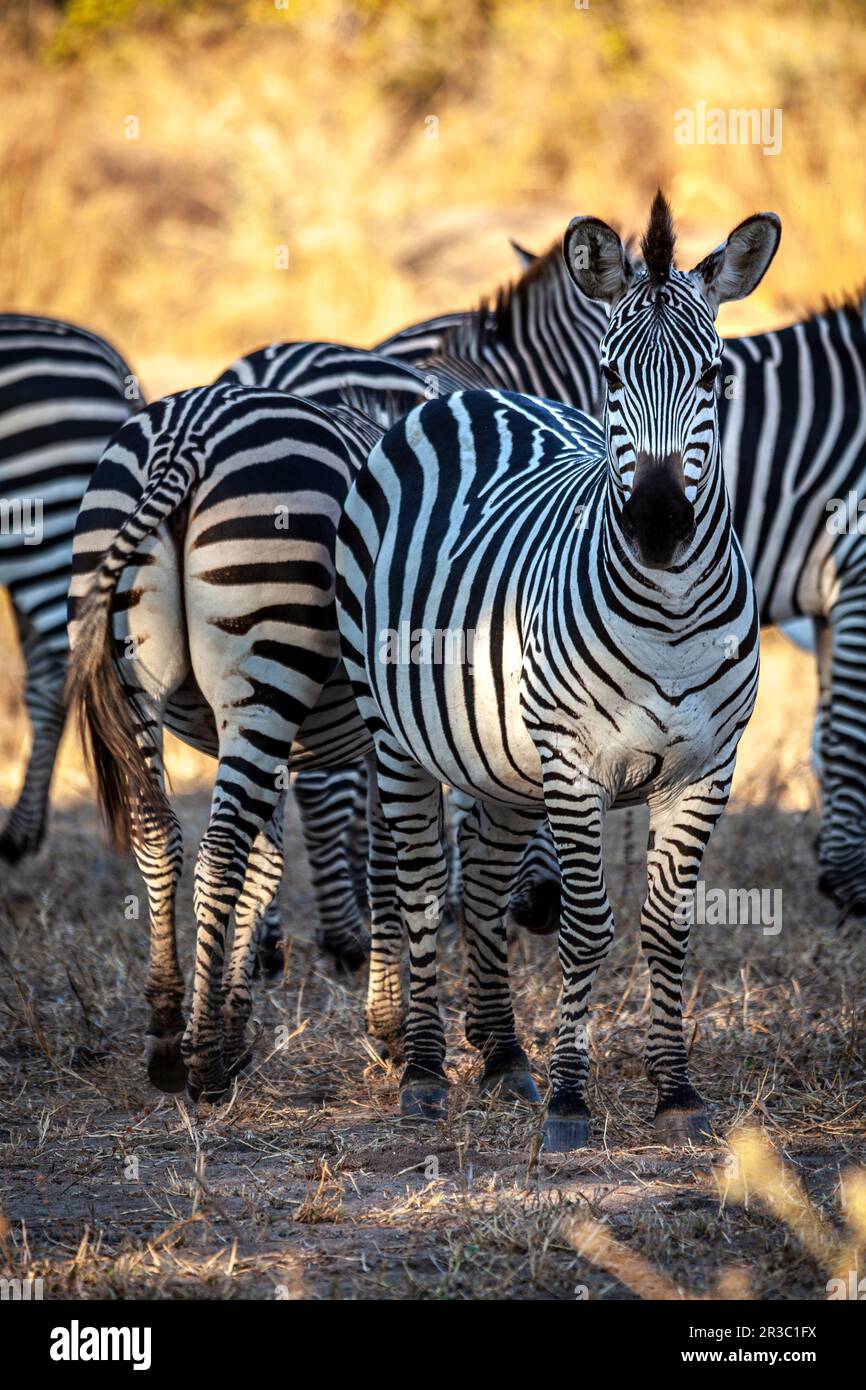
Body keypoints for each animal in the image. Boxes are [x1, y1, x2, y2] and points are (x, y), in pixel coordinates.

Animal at [336, 194, 780, 1149]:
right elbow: (585, 927)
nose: (659, 524)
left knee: (485, 881)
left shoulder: (708, 767)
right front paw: (574, 1101)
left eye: (715, 378)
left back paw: (505, 1059)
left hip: (500, 758)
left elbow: (665, 929)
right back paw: (424, 1073)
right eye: (609, 376)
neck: (670, 619)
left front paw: (676, 1092)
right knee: (422, 885)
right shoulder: (576, 764)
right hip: (396, 736)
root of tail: (464, 392)